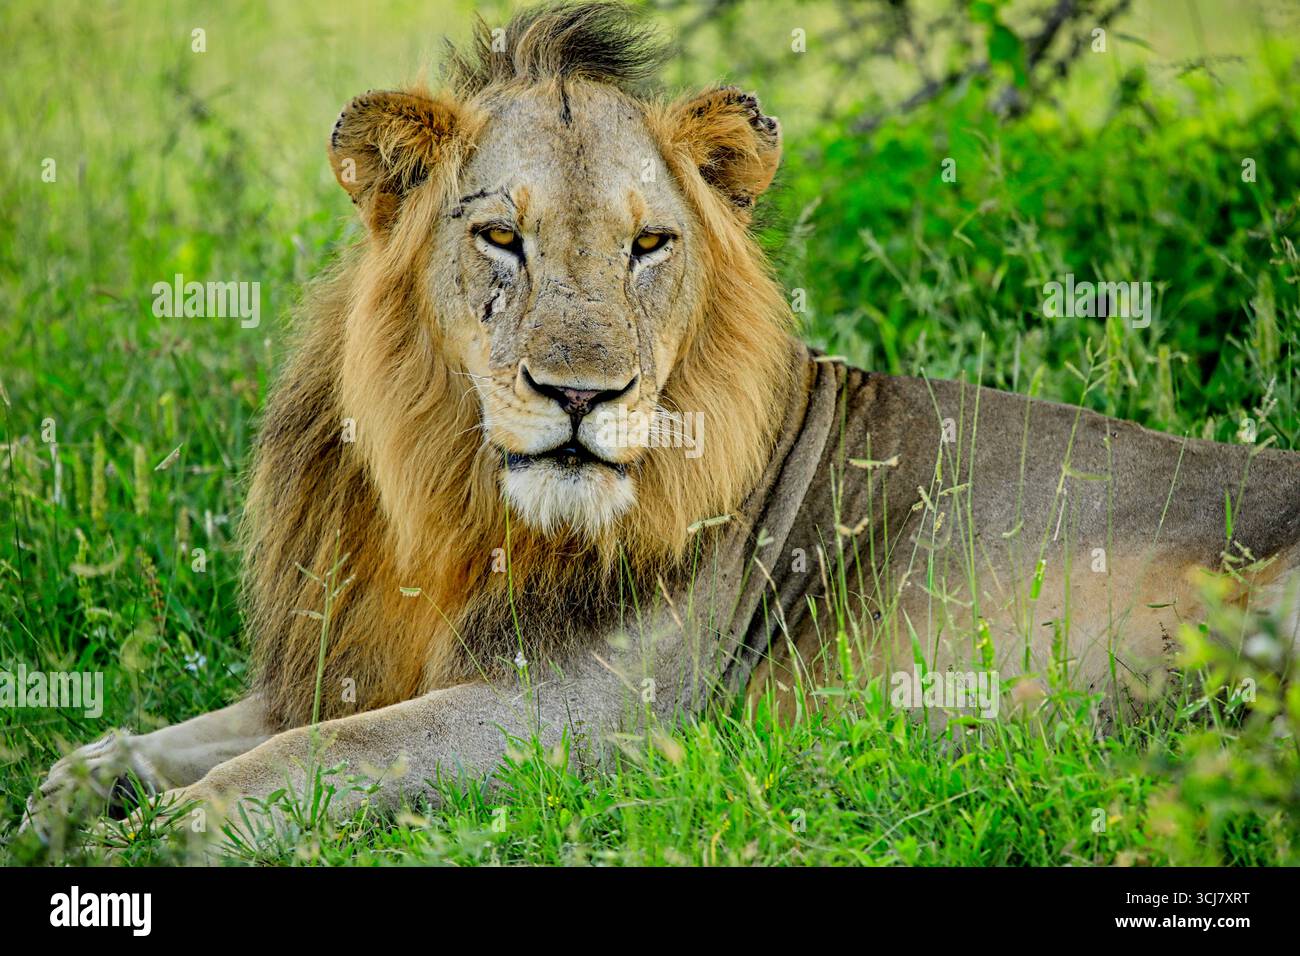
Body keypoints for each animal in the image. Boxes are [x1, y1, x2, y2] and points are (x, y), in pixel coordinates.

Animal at [24, 1, 1300, 838]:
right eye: (501, 236)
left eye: (649, 242)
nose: (581, 395)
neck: (448, 505)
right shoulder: (350, 660)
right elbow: (180, 731)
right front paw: (75, 792)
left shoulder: (587, 710)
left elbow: (322, 750)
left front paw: (172, 830)